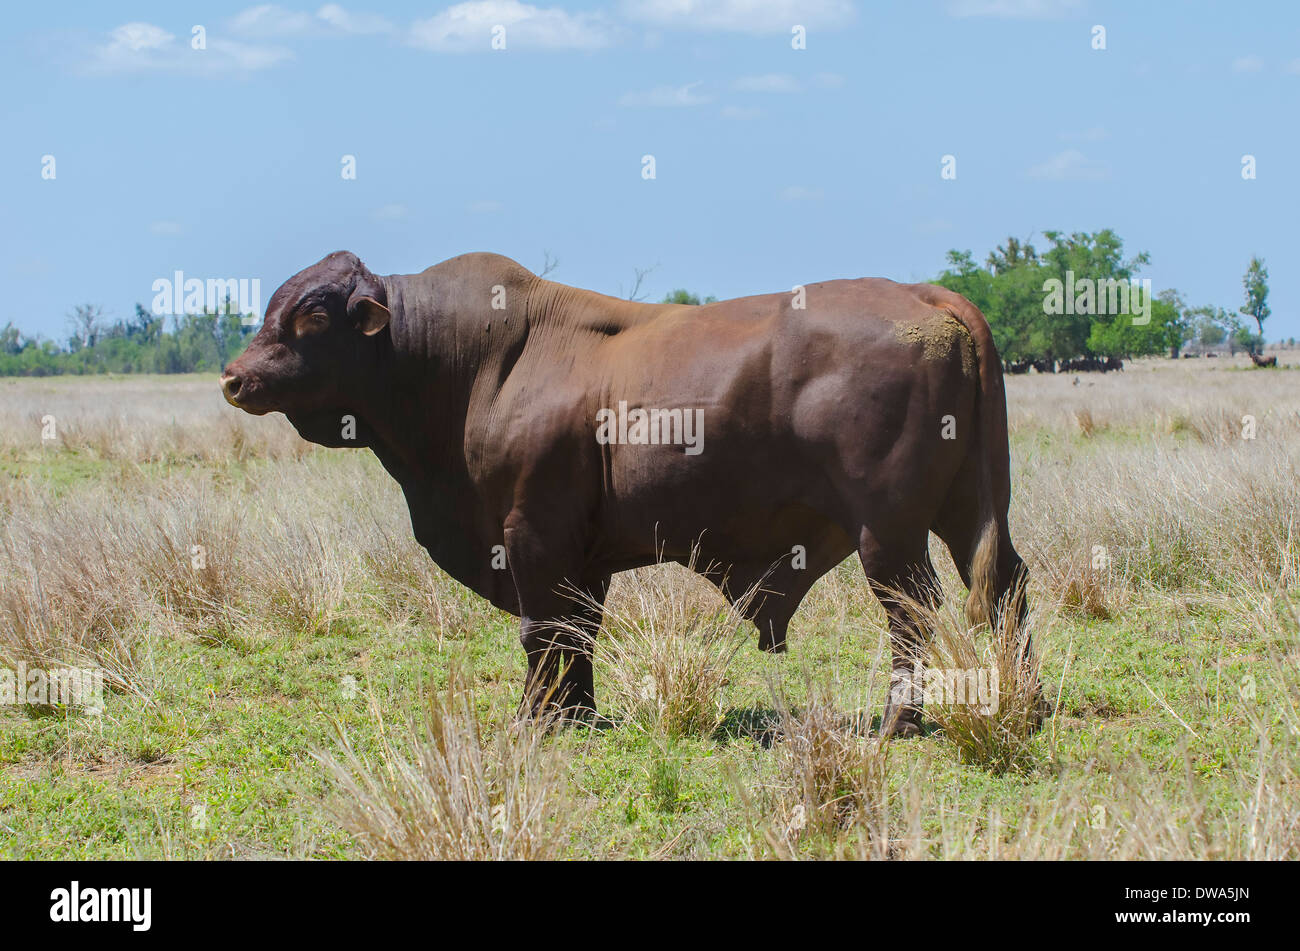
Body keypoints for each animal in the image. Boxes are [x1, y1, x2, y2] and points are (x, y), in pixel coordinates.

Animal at [221, 251, 1044, 736]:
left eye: (312, 314)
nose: (235, 377)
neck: (470, 366)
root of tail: (926, 295)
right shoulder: (581, 557)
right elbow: (576, 633)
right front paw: (576, 717)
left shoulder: (531, 537)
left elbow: (543, 631)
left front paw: (534, 723)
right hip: (966, 510)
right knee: (1006, 583)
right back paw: (1023, 701)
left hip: (889, 532)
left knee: (914, 610)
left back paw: (902, 717)